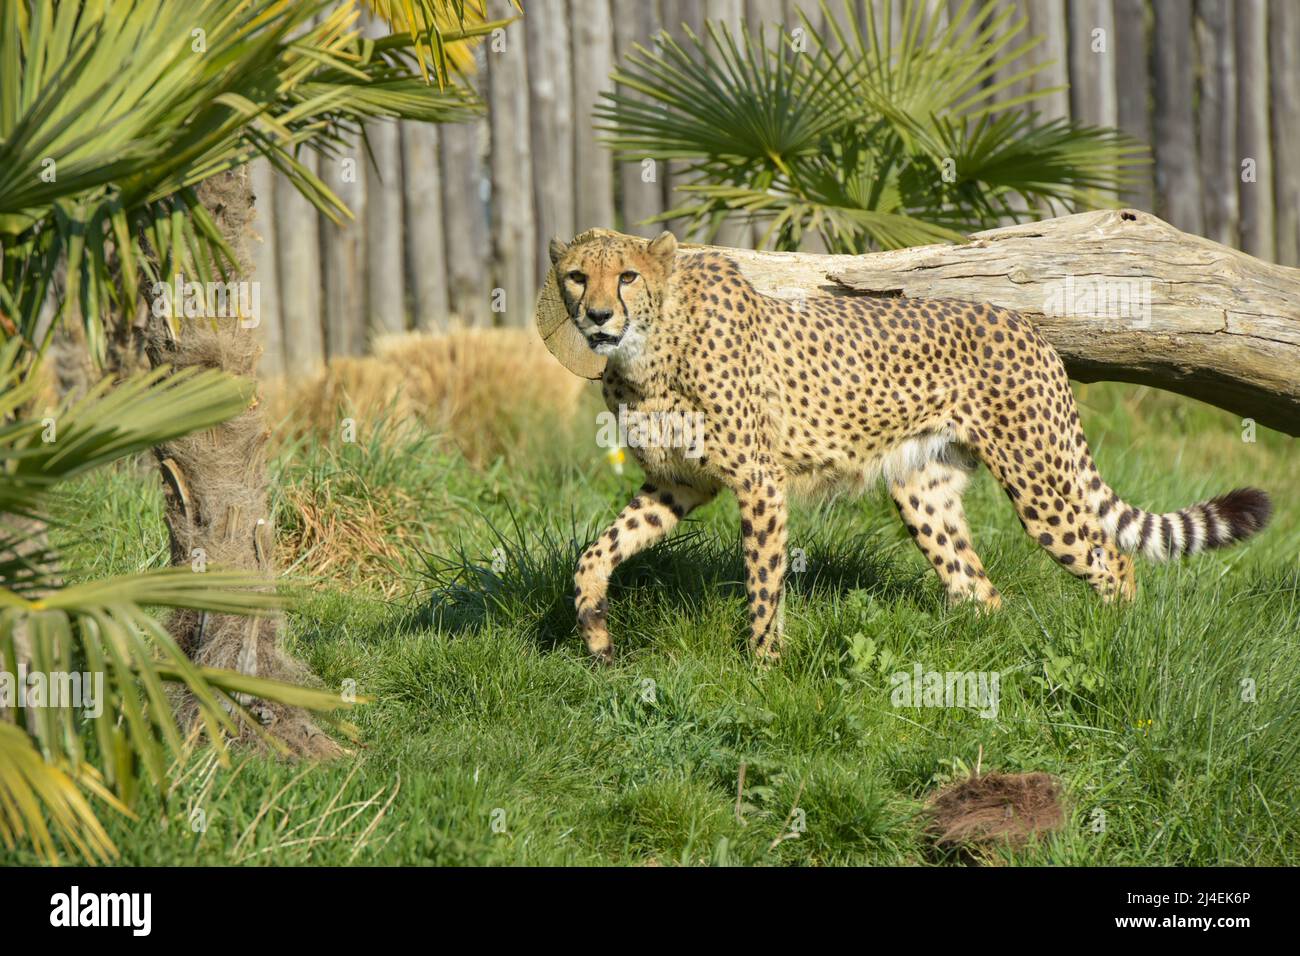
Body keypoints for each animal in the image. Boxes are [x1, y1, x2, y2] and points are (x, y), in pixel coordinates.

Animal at [549, 229, 1272, 664]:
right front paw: (596, 634)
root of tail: (1025, 322)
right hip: (924, 491)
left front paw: (762, 668)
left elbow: (763, 583)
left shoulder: (759, 482)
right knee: (979, 588)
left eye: (629, 277)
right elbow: (595, 553)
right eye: (578, 276)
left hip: (1039, 484)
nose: (598, 316)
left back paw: (1115, 644)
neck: (649, 352)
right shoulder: (680, 483)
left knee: (1111, 561)